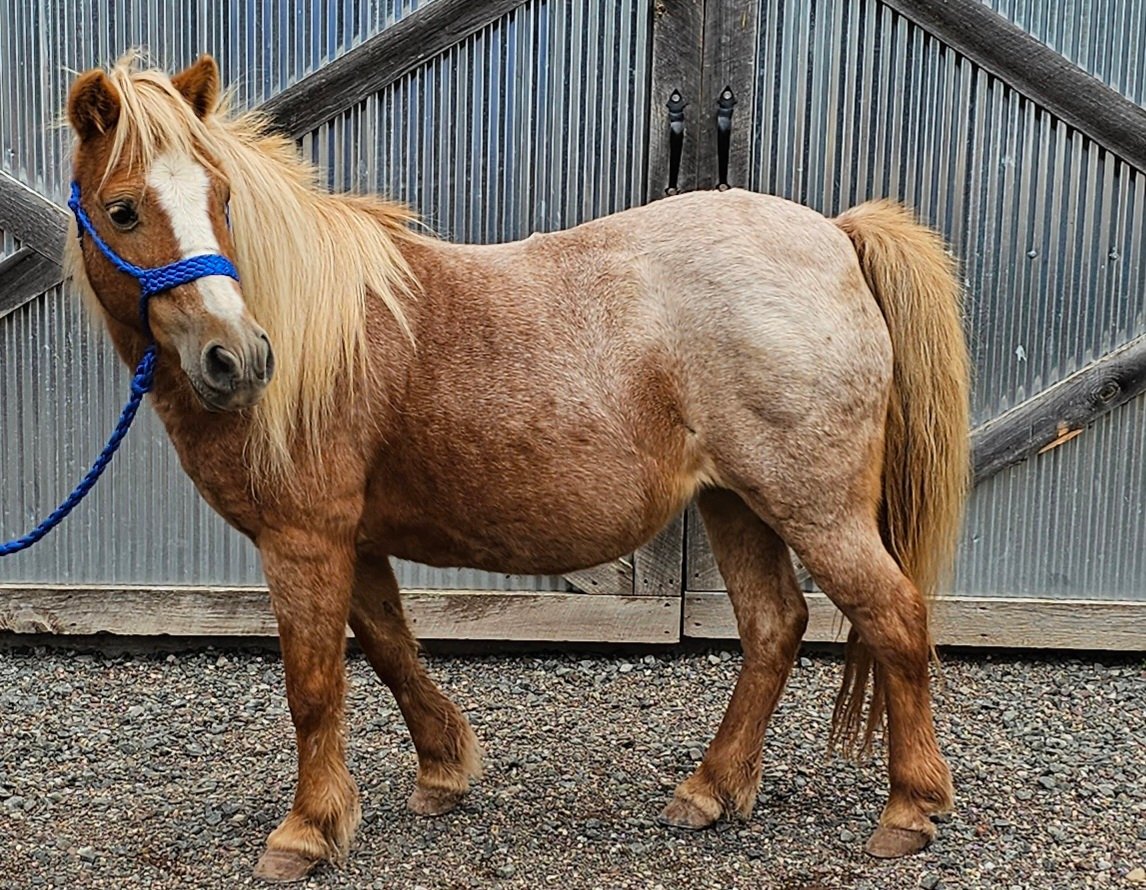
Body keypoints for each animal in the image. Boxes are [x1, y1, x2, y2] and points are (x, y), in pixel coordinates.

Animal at [62, 53, 970, 881]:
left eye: (220, 200)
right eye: (123, 208)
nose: (239, 360)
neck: (326, 331)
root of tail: (837, 236)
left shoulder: (304, 539)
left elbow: (314, 684)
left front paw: (307, 832)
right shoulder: (354, 541)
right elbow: (391, 649)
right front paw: (443, 772)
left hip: (815, 508)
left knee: (894, 620)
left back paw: (909, 810)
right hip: (736, 503)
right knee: (774, 626)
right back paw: (710, 790)